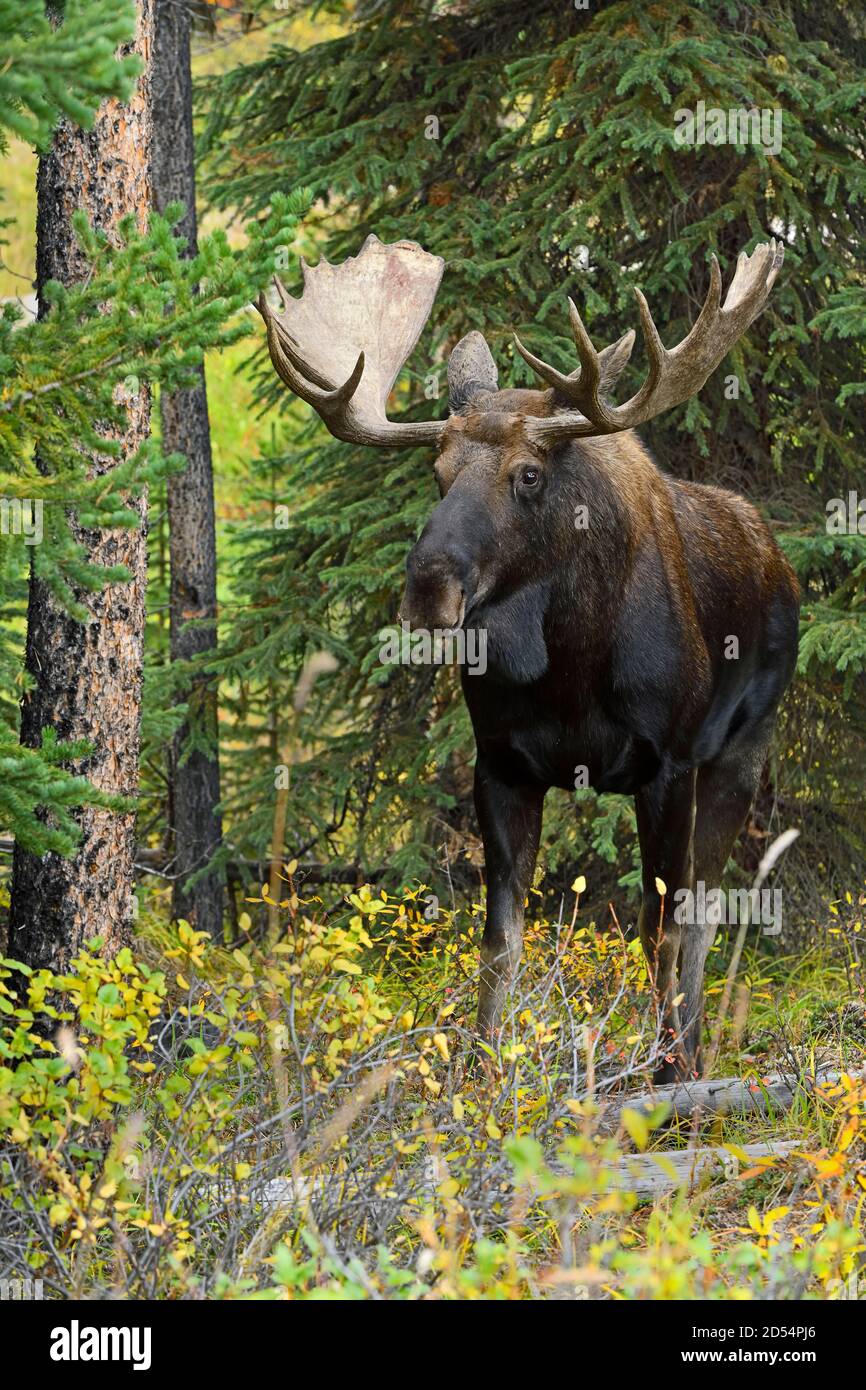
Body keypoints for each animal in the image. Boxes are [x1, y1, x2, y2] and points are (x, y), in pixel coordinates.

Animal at [257, 233, 799, 1082]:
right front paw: (480, 1076)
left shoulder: (669, 763)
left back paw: (695, 1049)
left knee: (708, 911)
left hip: (746, 746)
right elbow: (500, 942)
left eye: (529, 474)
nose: (428, 588)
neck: (571, 669)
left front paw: (669, 1075)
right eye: (437, 473)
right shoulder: (501, 764)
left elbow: (662, 928)